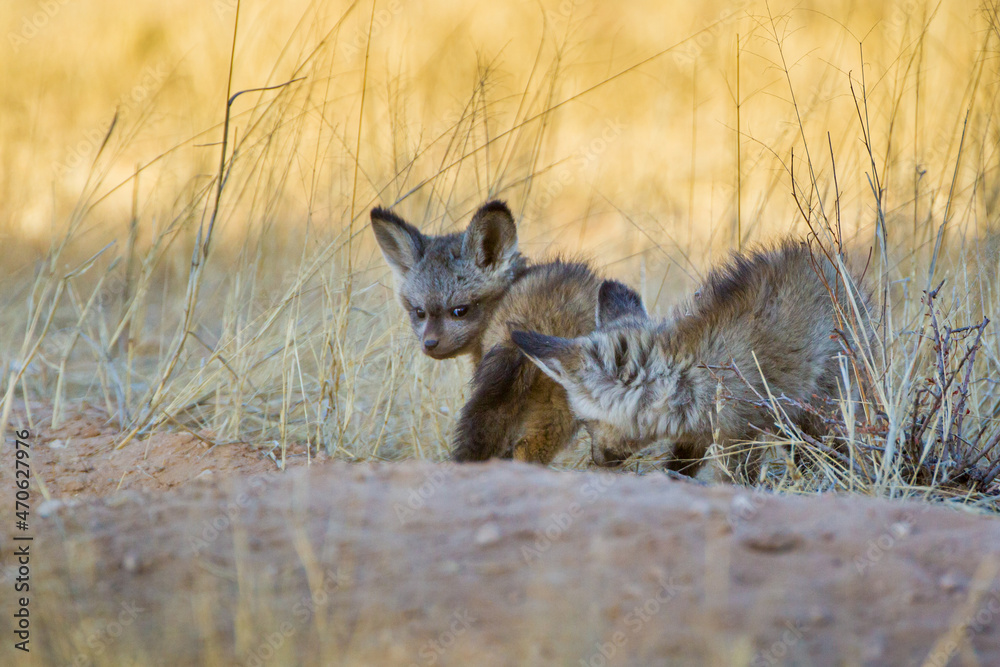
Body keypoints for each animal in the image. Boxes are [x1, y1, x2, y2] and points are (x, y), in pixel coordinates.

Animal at [511, 240, 873, 479]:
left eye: (586, 423)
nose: (597, 462)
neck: (688, 375)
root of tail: (828, 264)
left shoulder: (742, 437)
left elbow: (737, 480)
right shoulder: (694, 439)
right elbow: (679, 472)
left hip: (820, 407)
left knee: (829, 448)